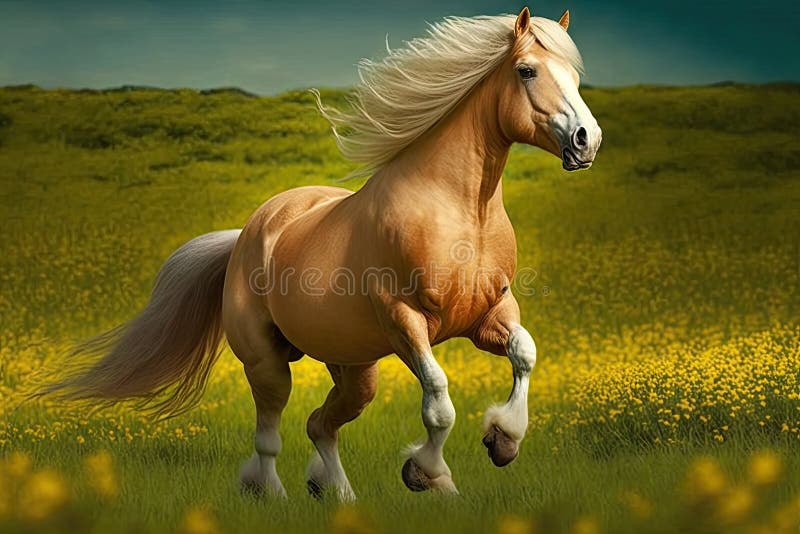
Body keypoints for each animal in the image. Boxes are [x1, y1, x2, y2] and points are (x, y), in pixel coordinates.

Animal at [47, 7, 601, 500]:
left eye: (576, 75)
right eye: (526, 70)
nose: (586, 140)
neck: (461, 210)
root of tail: (247, 234)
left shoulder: (489, 313)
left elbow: (524, 353)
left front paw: (501, 441)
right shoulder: (405, 322)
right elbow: (439, 401)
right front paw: (426, 474)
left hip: (355, 369)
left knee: (320, 424)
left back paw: (333, 491)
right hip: (267, 360)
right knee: (270, 431)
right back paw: (271, 493)